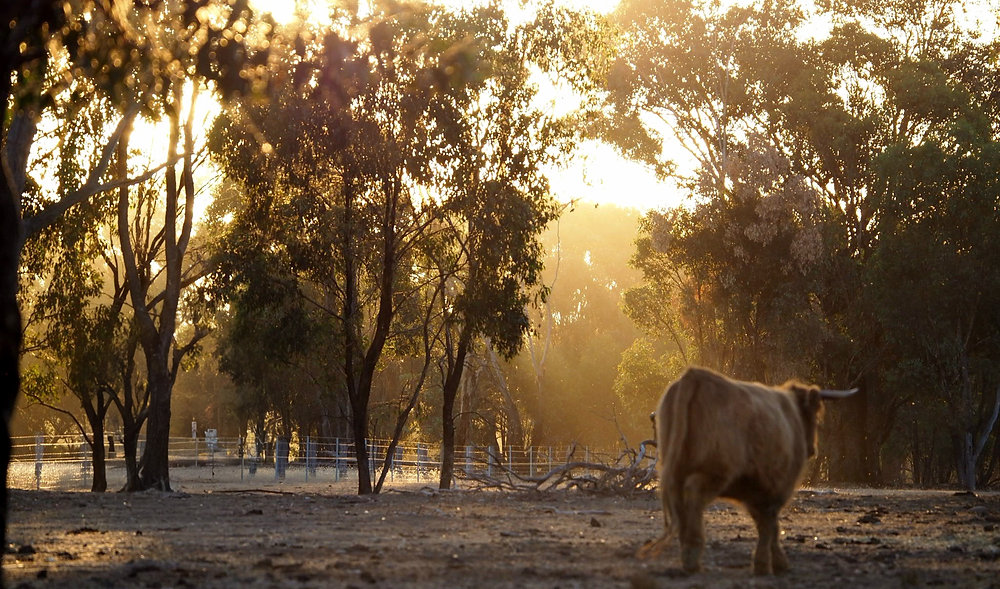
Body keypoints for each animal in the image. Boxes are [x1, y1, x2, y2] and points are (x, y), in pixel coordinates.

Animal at [640, 366, 856, 575]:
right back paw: (692, 556)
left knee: (680, 503)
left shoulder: (756, 490)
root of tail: (694, 377)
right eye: (814, 414)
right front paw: (769, 564)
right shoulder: (778, 486)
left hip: (675, 468)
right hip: (716, 470)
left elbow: (765, 523)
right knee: (694, 495)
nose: (812, 449)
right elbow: (770, 524)